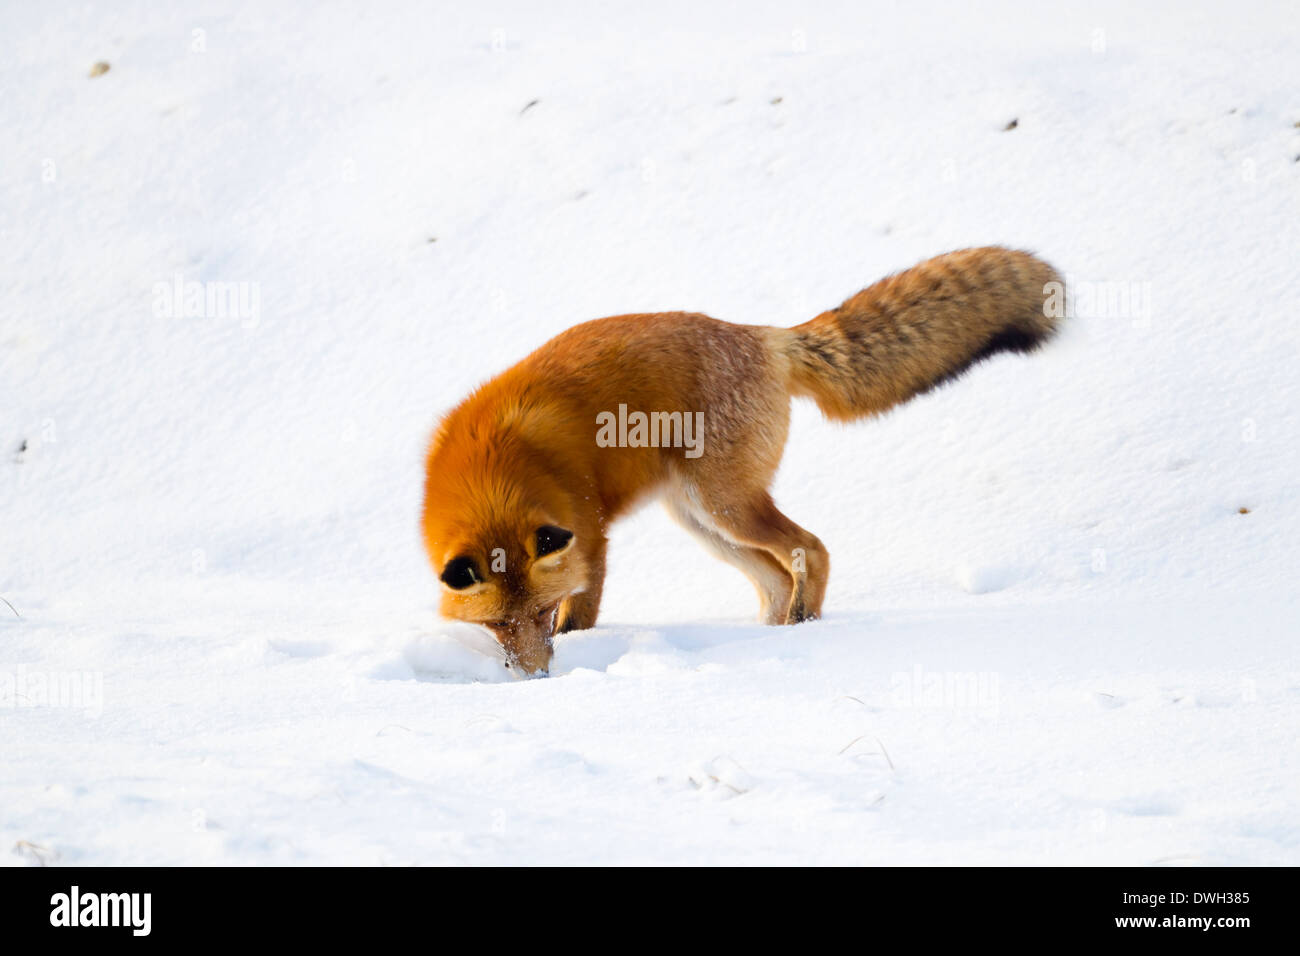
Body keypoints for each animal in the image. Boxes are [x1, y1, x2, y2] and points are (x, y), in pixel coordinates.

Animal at [422, 246, 1063, 674]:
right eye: (497, 624)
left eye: (543, 611)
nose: (536, 678)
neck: (496, 469)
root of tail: (765, 336)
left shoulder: (591, 537)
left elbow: (582, 615)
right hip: (700, 520)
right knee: (776, 579)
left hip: (724, 506)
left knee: (811, 550)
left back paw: (804, 633)